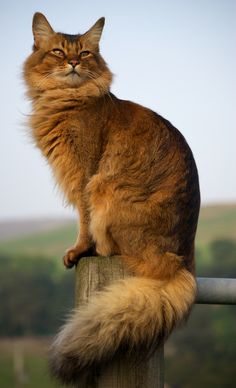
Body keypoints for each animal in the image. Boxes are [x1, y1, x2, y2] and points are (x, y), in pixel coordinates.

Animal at [24, 12, 200, 384]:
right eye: (59, 51)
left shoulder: (84, 176)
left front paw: (79, 249)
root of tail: (185, 263)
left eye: (85, 53)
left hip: (106, 188)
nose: (74, 63)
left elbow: (83, 219)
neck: (66, 99)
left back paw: (100, 250)